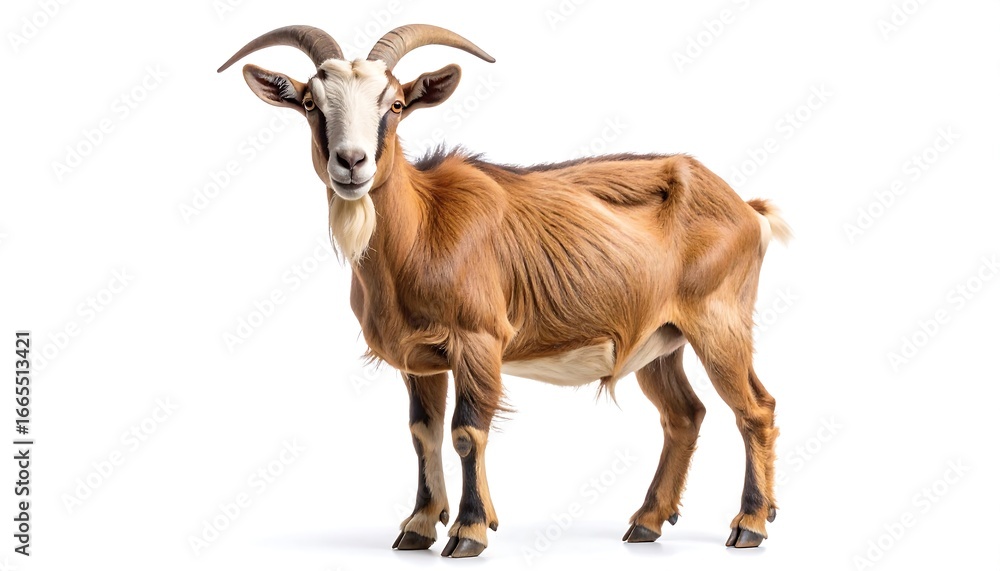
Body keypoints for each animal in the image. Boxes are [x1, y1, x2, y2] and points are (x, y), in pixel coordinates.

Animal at [219, 24, 790, 558]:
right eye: (310, 103)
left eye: (396, 104)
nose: (352, 162)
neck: (423, 226)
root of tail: (747, 209)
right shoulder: (420, 360)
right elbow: (423, 432)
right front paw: (419, 526)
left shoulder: (478, 340)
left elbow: (466, 432)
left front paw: (469, 531)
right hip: (661, 339)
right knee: (683, 415)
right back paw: (647, 522)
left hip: (718, 321)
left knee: (755, 409)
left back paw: (750, 525)